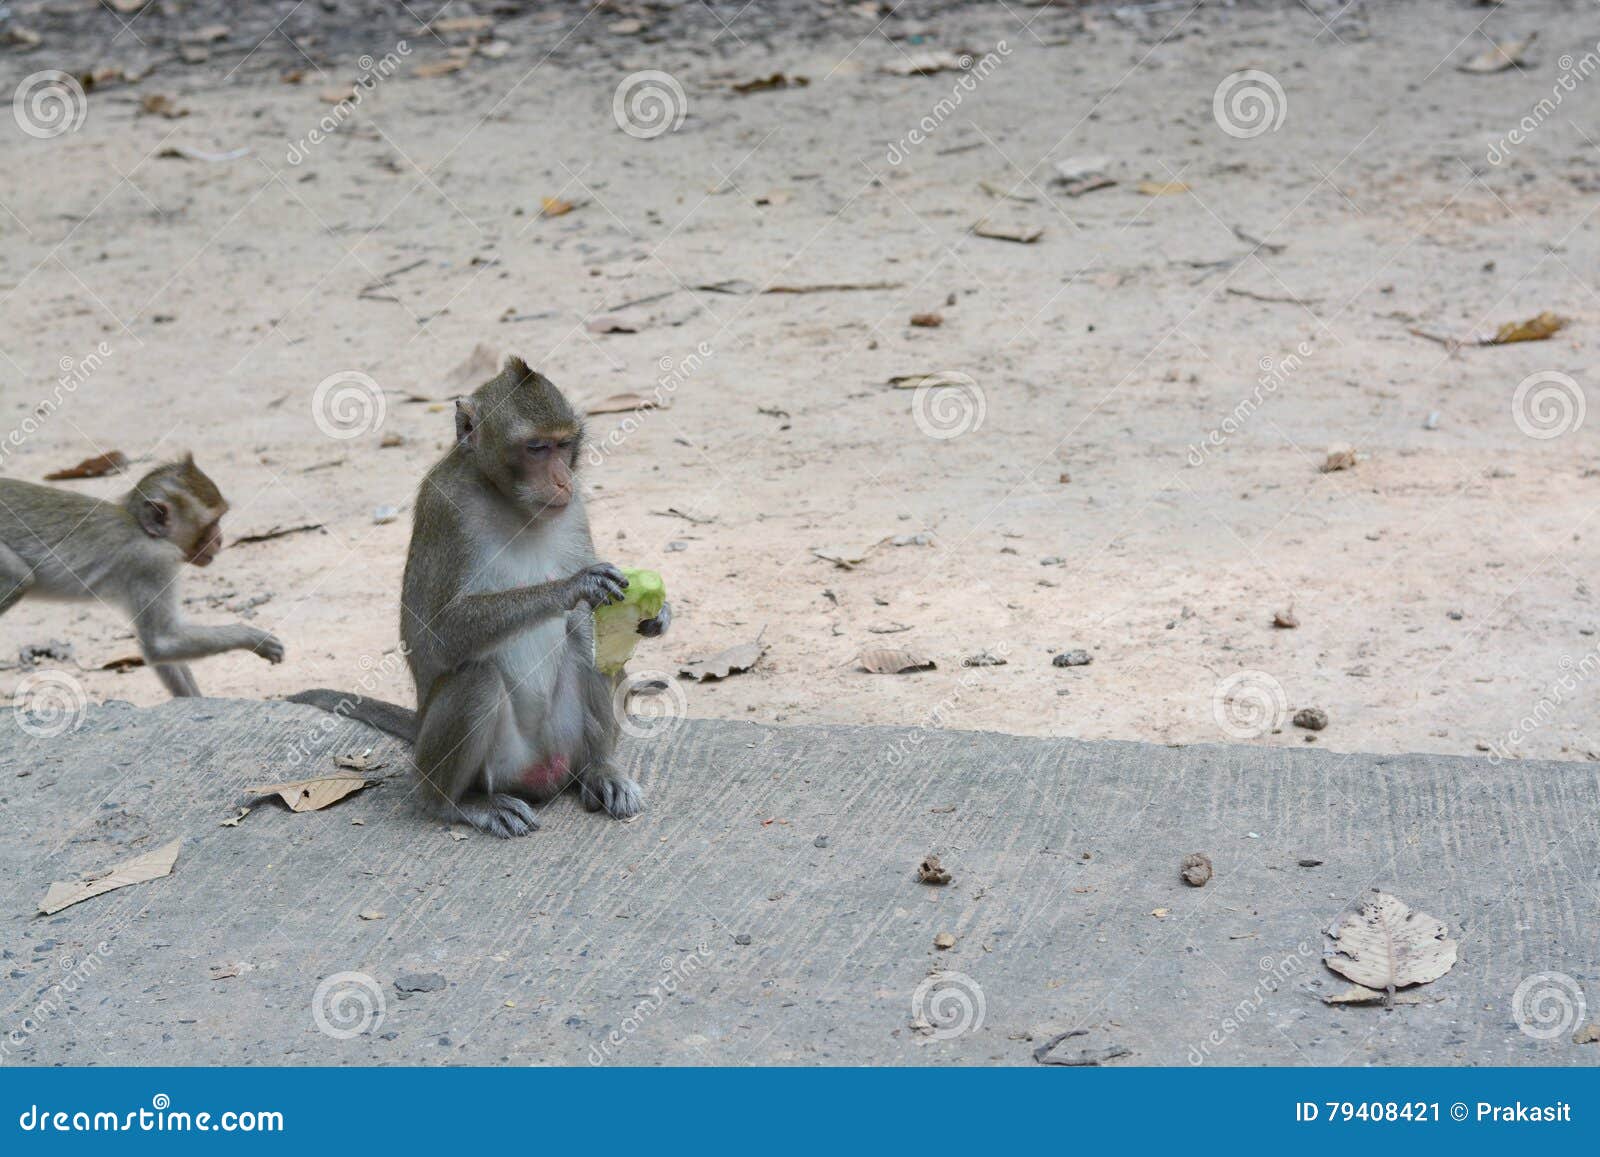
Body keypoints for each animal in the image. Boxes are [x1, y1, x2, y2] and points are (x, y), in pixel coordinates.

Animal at [0, 455, 285, 697]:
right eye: (212, 523)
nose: (220, 539)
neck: (144, 530)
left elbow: (165, 654)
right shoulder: (152, 563)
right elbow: (161, 643)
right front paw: (253, 638)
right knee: (20, 577)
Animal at [290, 356, 671, 837]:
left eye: (564, 445)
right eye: (535, 448)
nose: (563, 481)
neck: (511, 504)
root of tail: (542, 775)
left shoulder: (575, 509)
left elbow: (594, 627)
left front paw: (657, 617)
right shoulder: (445, 507)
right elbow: (439, 635)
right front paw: (575, 586)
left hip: (563, 744)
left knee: (591, 652)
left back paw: (599, 769)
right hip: (487, 763)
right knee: (477, 680)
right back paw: (456, 804)